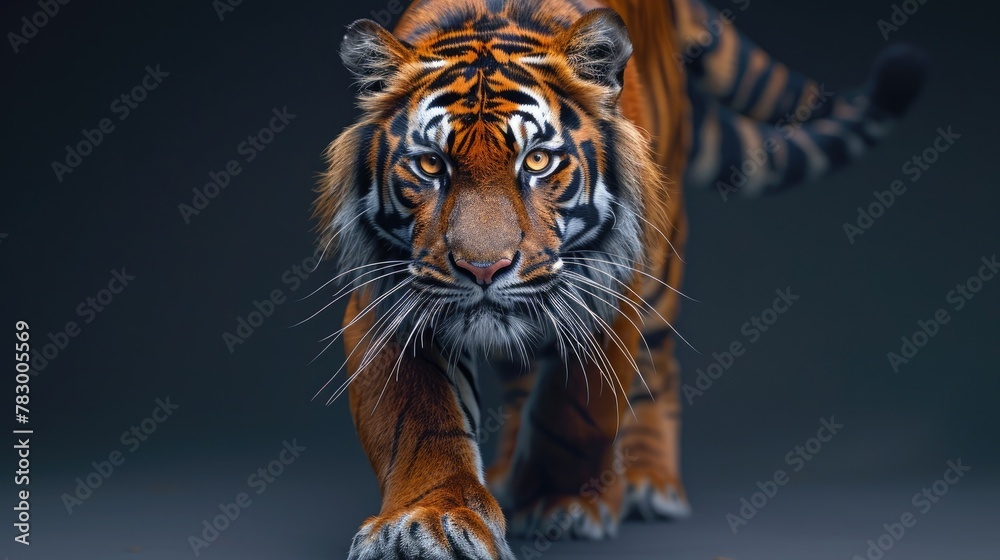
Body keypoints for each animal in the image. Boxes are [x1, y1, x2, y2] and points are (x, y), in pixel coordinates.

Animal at [312, 0, 926, 558]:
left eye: (537, 162)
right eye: (430, 166)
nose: (484, 267)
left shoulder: (610, 290)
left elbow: (575, 410)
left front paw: (557, 504)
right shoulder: (387, 294)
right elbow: (420, 422)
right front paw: (427, 522)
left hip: (660, 264)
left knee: (657, 374)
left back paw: (650, 485)